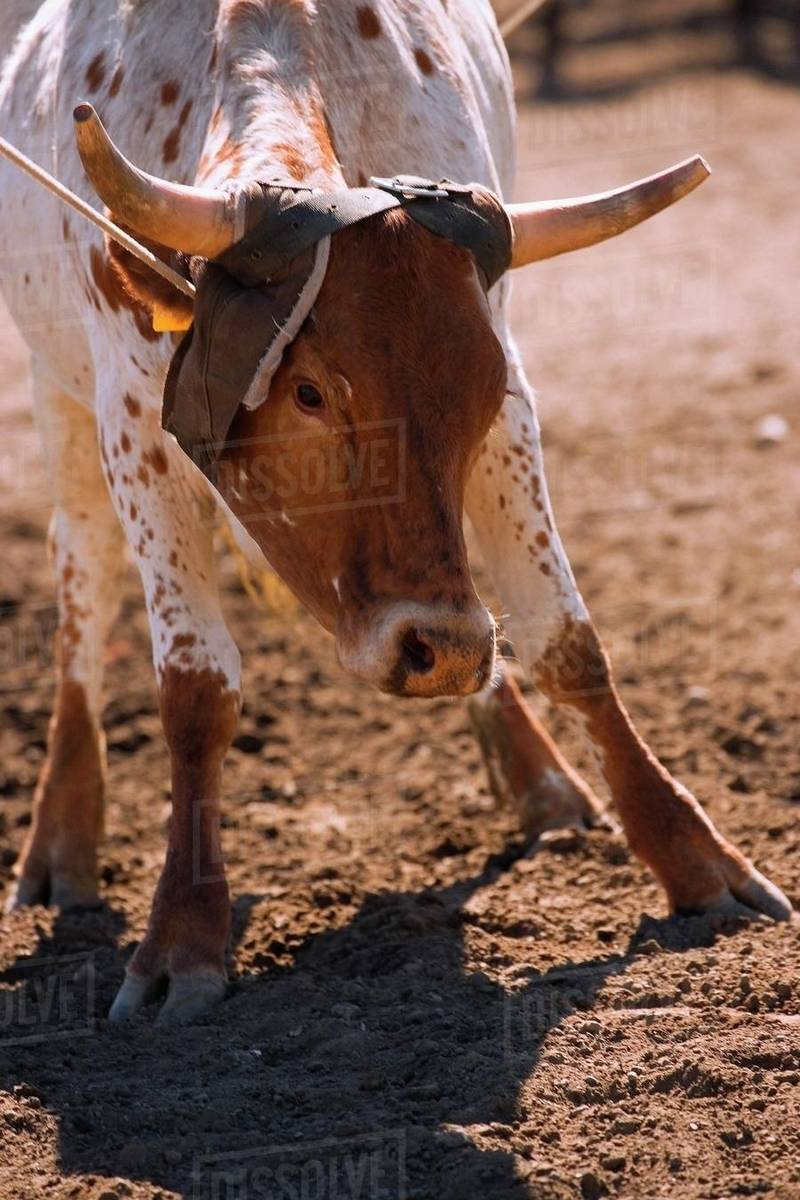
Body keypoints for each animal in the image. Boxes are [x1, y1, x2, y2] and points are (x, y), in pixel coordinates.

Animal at [0, 0, 791, 1025]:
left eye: (480, 390)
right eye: (306, 391)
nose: (438, 647)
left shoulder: (513, 399)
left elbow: (565, 639)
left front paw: (696, 858)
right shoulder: (131, 414)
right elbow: (195, 691)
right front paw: (181, 939)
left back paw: (539, 779)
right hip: (56, 389)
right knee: (82, 580)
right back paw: (62, 833)